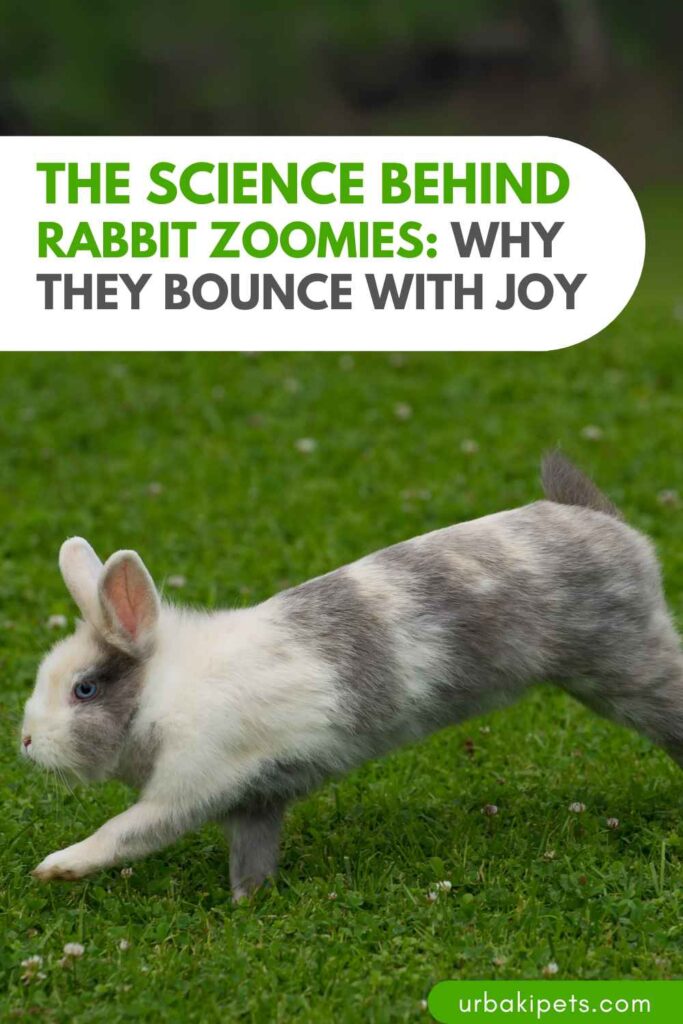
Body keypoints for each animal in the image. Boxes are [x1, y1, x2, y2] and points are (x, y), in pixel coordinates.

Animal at [21, 452, 683, 900]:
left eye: (85, 689)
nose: (26, 744)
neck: (160, 695)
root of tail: (607, 527)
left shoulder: (186, 787)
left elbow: (124, 831)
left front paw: (56, 866)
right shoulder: (256, 801)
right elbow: (251, 860)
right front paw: (244, 904)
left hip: (630, 668)